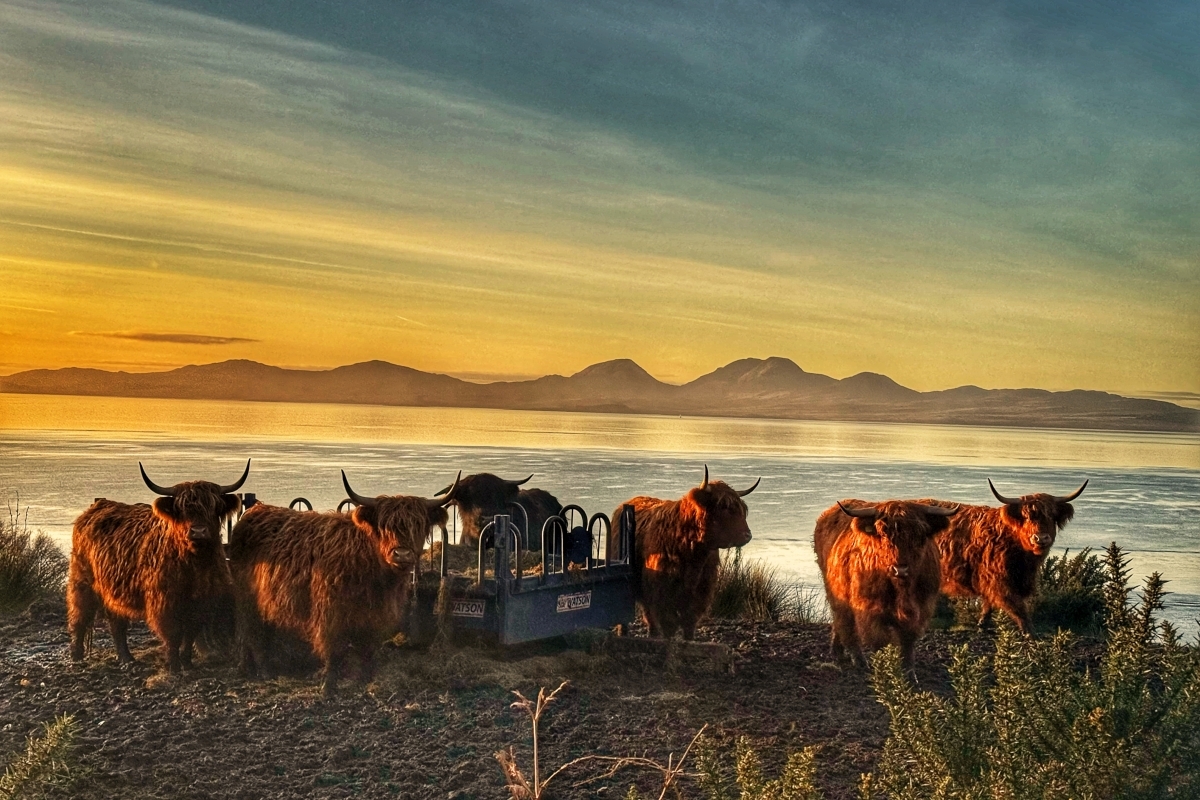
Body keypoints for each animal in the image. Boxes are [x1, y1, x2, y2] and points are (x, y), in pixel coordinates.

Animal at [67, 460, 249, 674]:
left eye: (214, 507)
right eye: (181, 510)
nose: (198, 531)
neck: (194, 564)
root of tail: (95, 508)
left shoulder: (202, 601)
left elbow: (191, 633)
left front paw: (187, 662)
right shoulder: (165, 602)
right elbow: (174, 634)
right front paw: (174, 666)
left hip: (114, 589)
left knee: (116, 623)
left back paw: (126, 658)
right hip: (83, 580)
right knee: (80, 615)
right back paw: (77, 656)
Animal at [230, 470, 459, 696]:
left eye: (418, 524)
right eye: (384, 525)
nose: (401, 554)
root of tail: (255, 511)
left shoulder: (374, 616)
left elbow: (366, 650)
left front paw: (364, 681)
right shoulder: (330, 613)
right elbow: (335, 651)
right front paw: (328, 687)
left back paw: (248, 667)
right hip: (247, 599)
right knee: (253, 632)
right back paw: (264, 671)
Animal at [611, 466, 760, 640]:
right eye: (724, 508)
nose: (747, 535)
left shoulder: (700, 592)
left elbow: (689, 622)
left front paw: (689, 641)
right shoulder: (662, 590)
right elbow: (668, 624)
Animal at [814, 499, 958, 672]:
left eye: (920, 535)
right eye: (883, 534)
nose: (900, 569)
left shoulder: (921, 608)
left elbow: (908, 642)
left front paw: (909, 672)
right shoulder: (871, 611)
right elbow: (880, 642)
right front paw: (885, 670)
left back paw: (839, 653)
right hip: (838, 596)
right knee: (846, 626)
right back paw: (856, 660)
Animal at [929, 479, 1088, 634]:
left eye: (1051, 516)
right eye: (1026, 517)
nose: (1041, 538)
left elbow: (990, 603)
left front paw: (982, 625)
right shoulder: (999, 580)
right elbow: (1017, 607)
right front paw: (1030, 632)